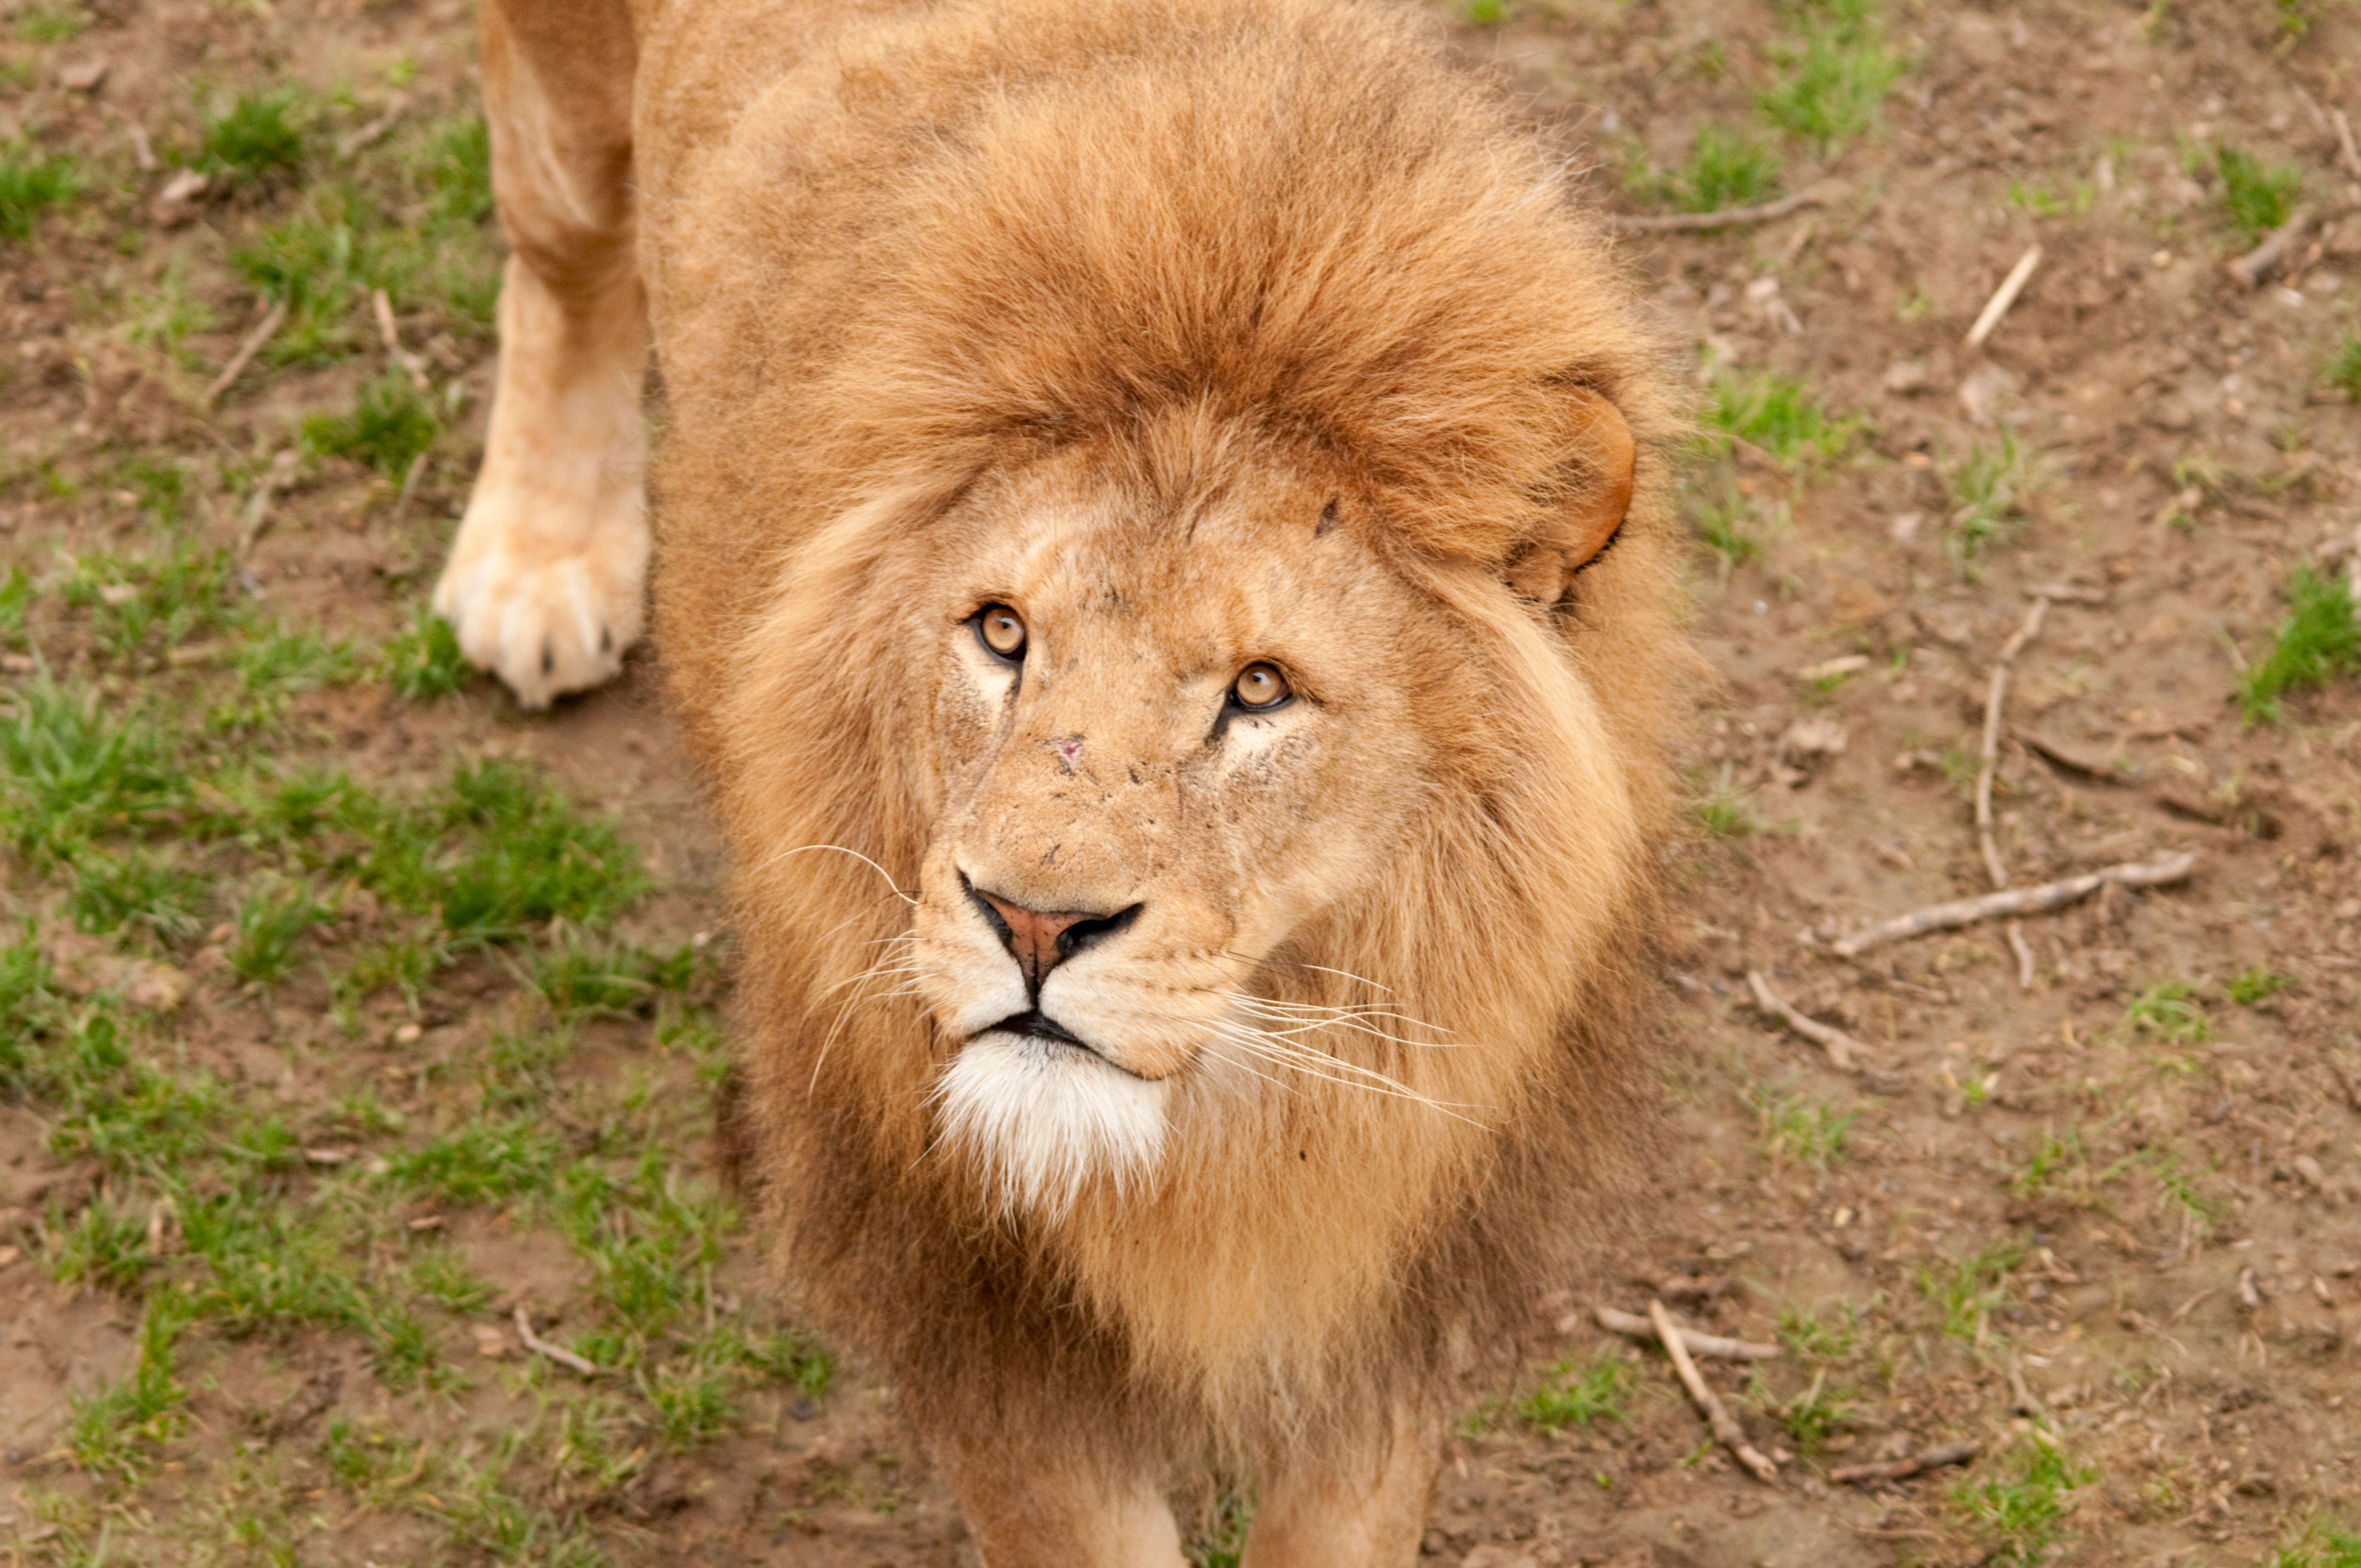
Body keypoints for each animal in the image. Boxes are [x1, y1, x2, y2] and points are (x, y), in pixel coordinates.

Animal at [438, 0, 1695, 1558]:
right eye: (999, 633)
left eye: (1258, 690)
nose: (1032, 925)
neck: (1225, 1123)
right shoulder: (978, 1309)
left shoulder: (1387, 1283)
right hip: (561, 98)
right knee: (556, 245)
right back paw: (542, 555)